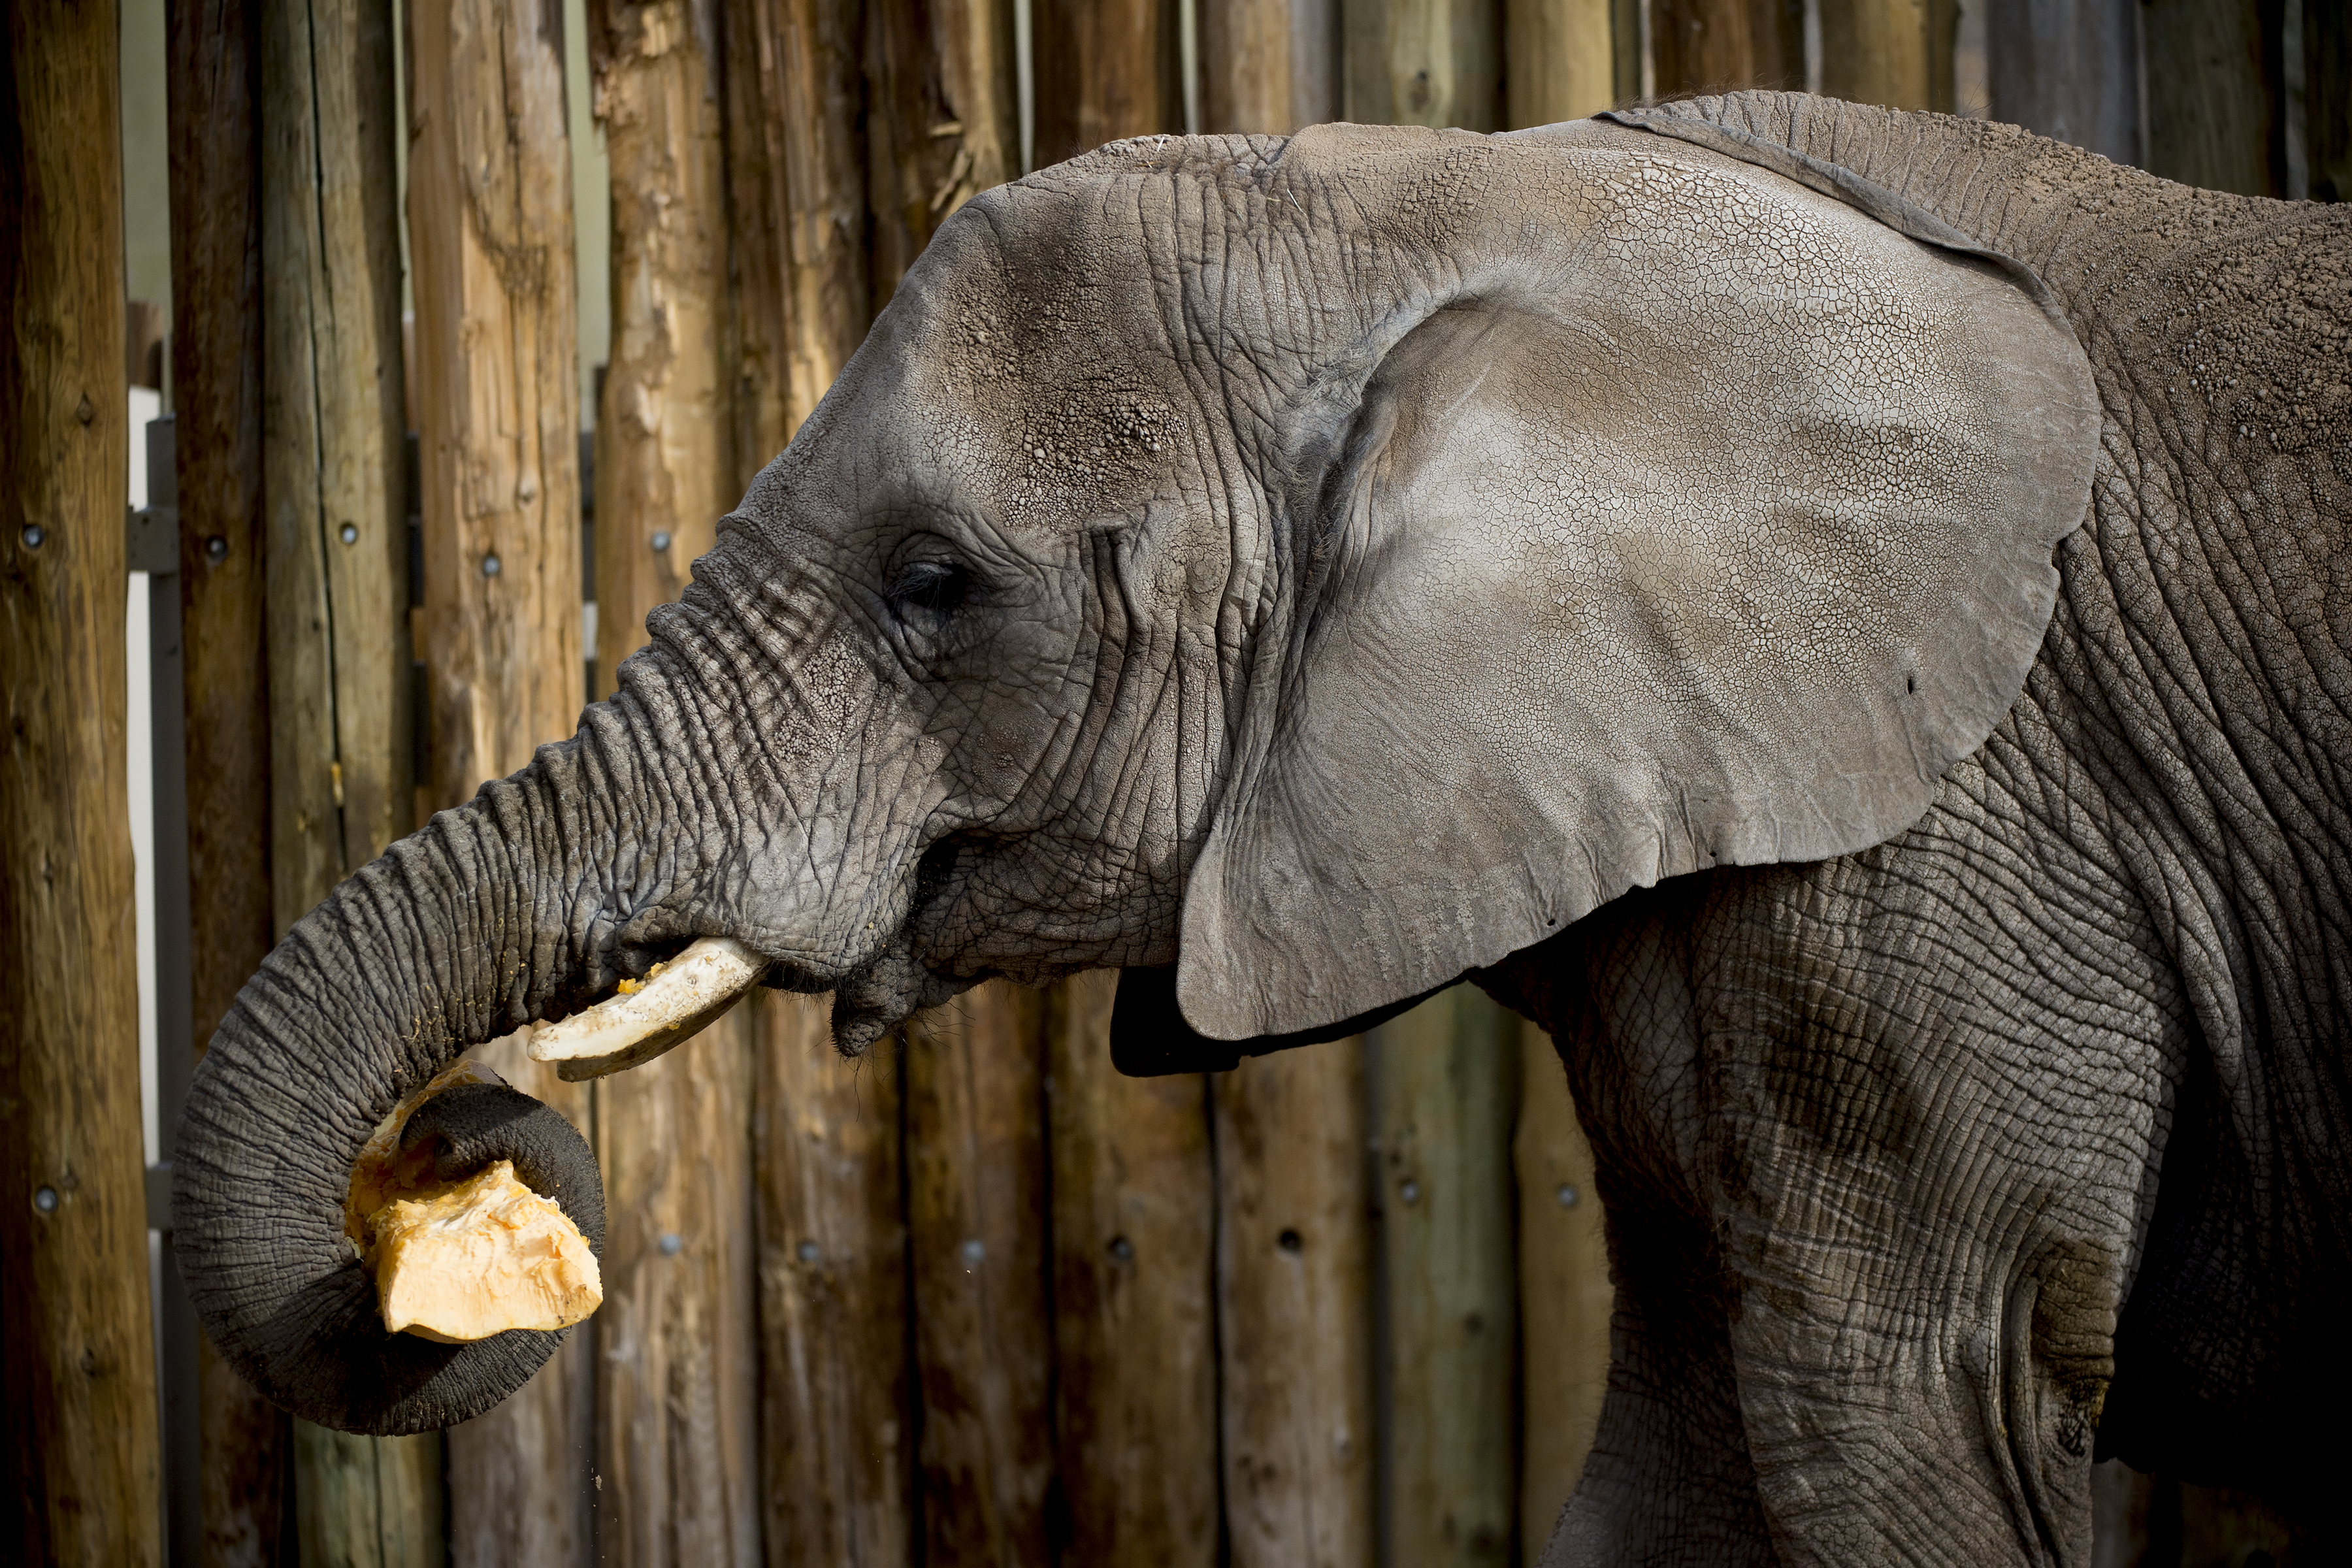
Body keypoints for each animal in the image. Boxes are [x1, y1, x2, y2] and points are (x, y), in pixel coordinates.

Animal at [175, 89, 2349, 1565]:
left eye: (935, 585)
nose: (457, 1144)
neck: (1468, 201)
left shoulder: (1946, 821)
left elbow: (1913, 1405)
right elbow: (1684, 1446)